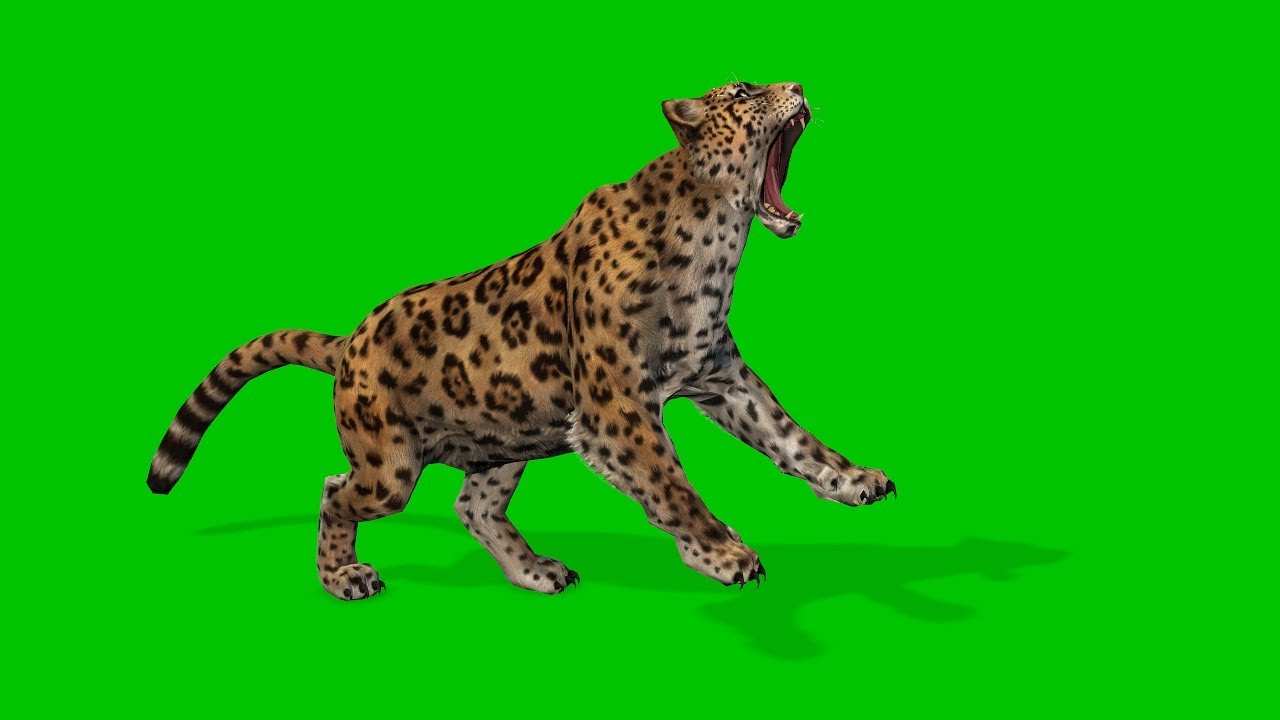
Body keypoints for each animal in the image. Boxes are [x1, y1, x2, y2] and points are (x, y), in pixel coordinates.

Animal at [147, 81, 896, 600]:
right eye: (743, 93)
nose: (798, 86)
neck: (719, 237)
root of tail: (352, 340)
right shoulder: (617, 410)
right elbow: (672, 484)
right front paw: (726, 554)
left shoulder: (722, 378)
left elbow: (791, 437)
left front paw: (855, 479)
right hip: (390, 465)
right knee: (337, 489)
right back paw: (344, 576)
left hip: (504, 435)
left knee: (472, 505)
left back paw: (536, 570)